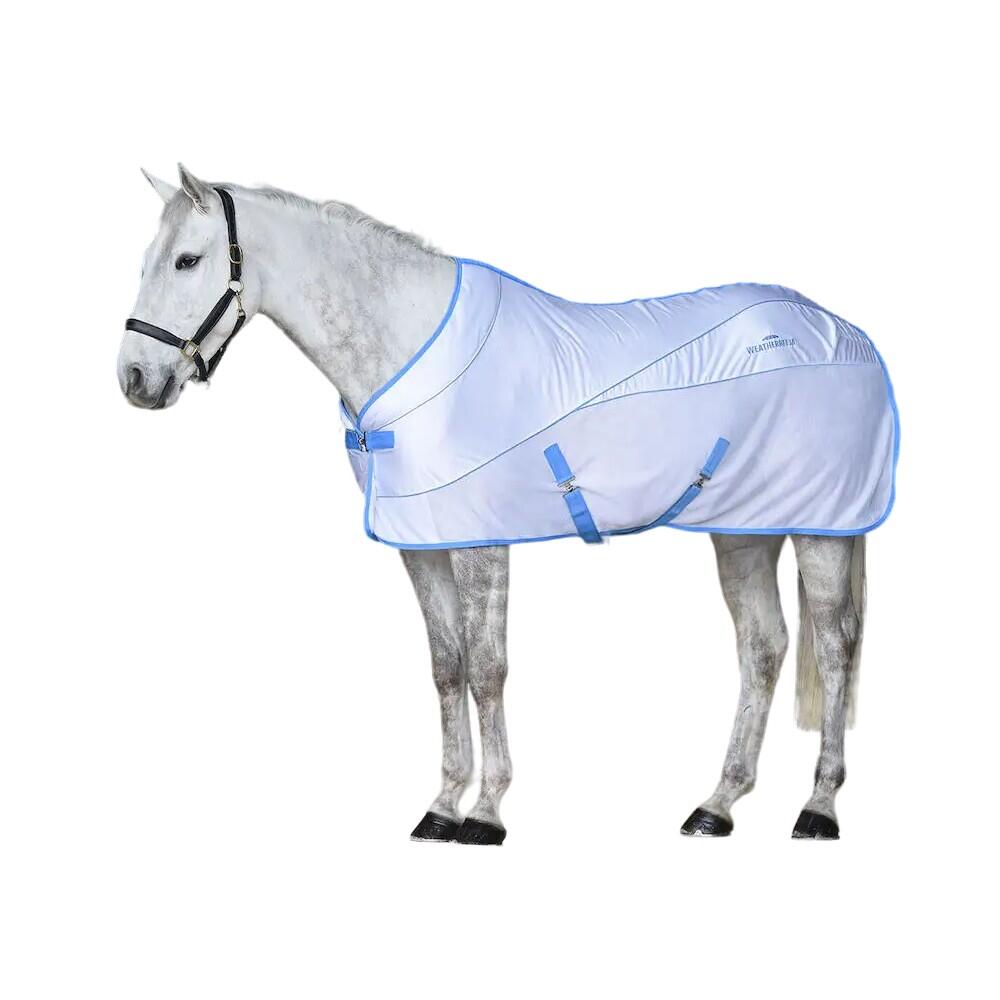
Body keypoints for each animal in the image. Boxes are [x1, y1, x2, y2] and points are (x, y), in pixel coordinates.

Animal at [118, 165, 895, 843]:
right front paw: (441, 807)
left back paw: (819, 807)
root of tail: (845, 332)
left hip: (823, 530)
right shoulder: (424, 546)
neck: (409, 347)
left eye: (187, 260)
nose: (134, 379)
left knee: (835, 649)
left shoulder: (481, 544)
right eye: (148, 260)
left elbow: (488, 669)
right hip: (745, 531)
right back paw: (717, 805)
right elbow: (447, 668)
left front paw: (486, 814)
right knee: (764, 647)